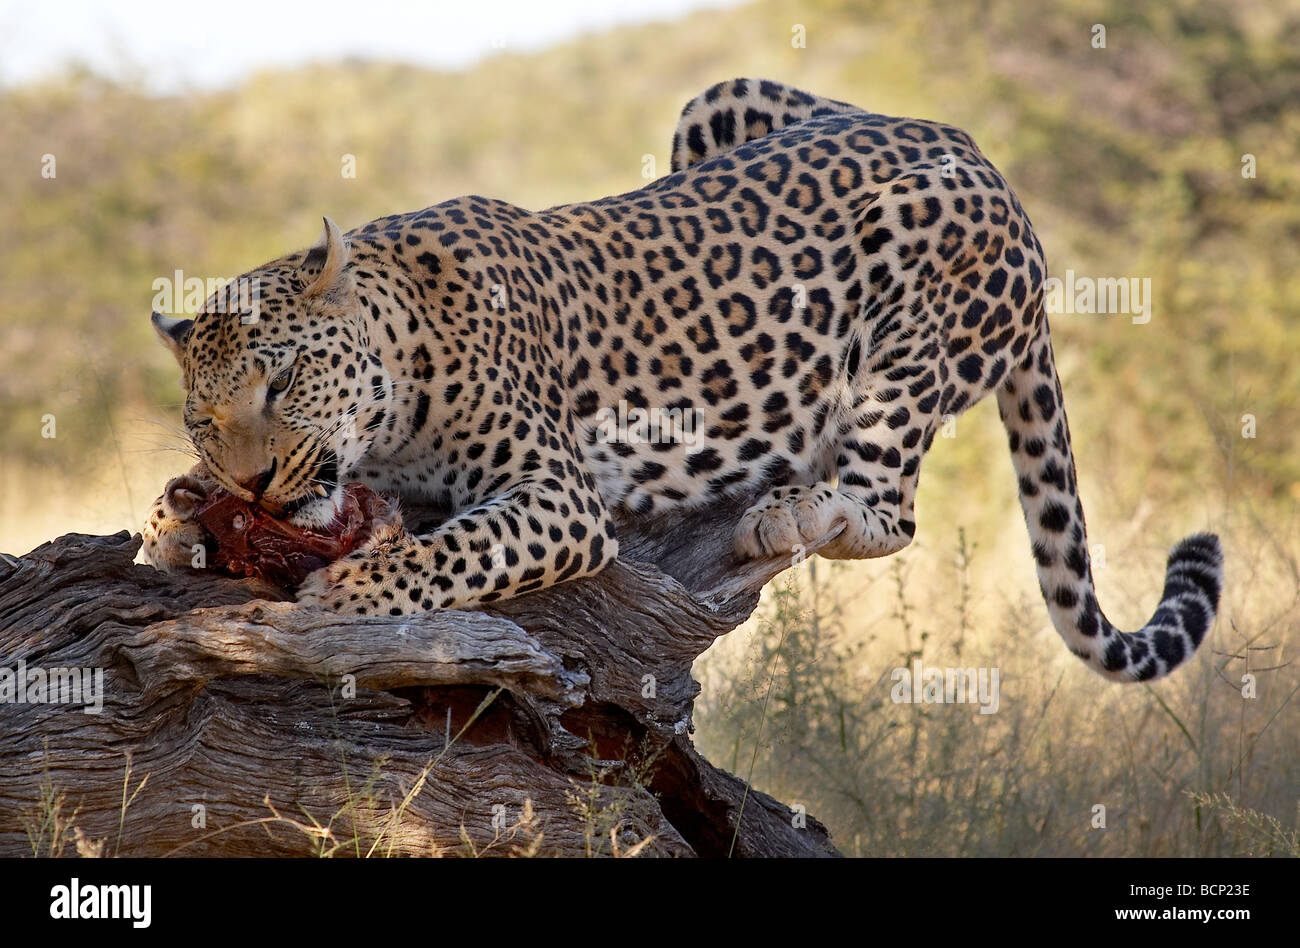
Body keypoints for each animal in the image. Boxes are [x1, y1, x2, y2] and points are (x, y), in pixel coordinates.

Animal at [143, 77, 1223, 682]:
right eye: (202, 420)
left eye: (283, 380)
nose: (252, 483)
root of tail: (976, 151)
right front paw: (172, 522)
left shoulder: (559, 499)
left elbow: (456, 551)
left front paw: (351, 588)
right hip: (722, 103)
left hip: (919, 266)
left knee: (889, 504)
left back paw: (799, 509)